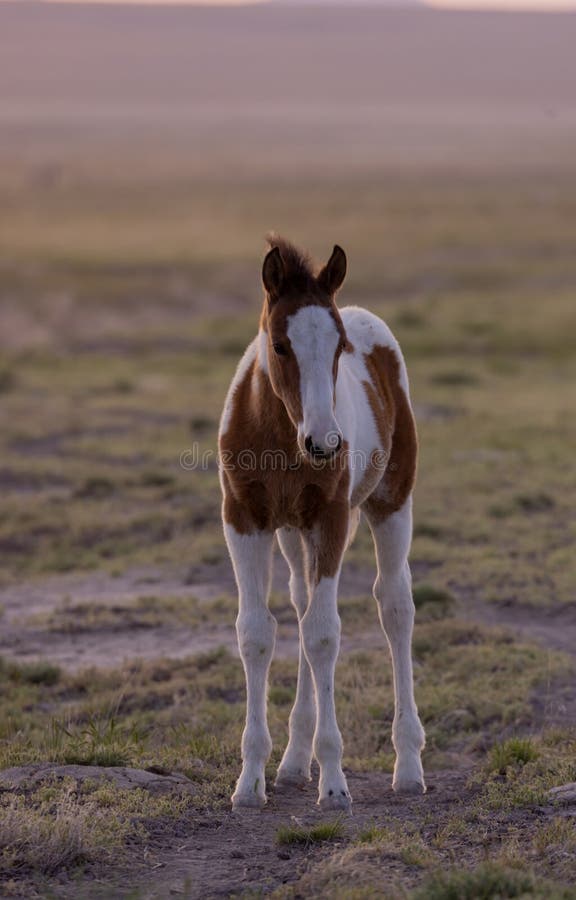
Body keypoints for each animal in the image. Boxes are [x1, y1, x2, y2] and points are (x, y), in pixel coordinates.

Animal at [218, 236, 425, 811]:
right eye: (280, 345)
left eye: (338, 349)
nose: (325, 443)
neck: (281, 438)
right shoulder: (243, 519)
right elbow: (257, 632)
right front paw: (250, 781)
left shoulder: (331, 518)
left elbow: (325, 635)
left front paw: (334, 782)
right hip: (294, 533)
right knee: (302, 601)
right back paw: (293, 763)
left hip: (390, 505)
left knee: (394, 607)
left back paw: (408, 765)